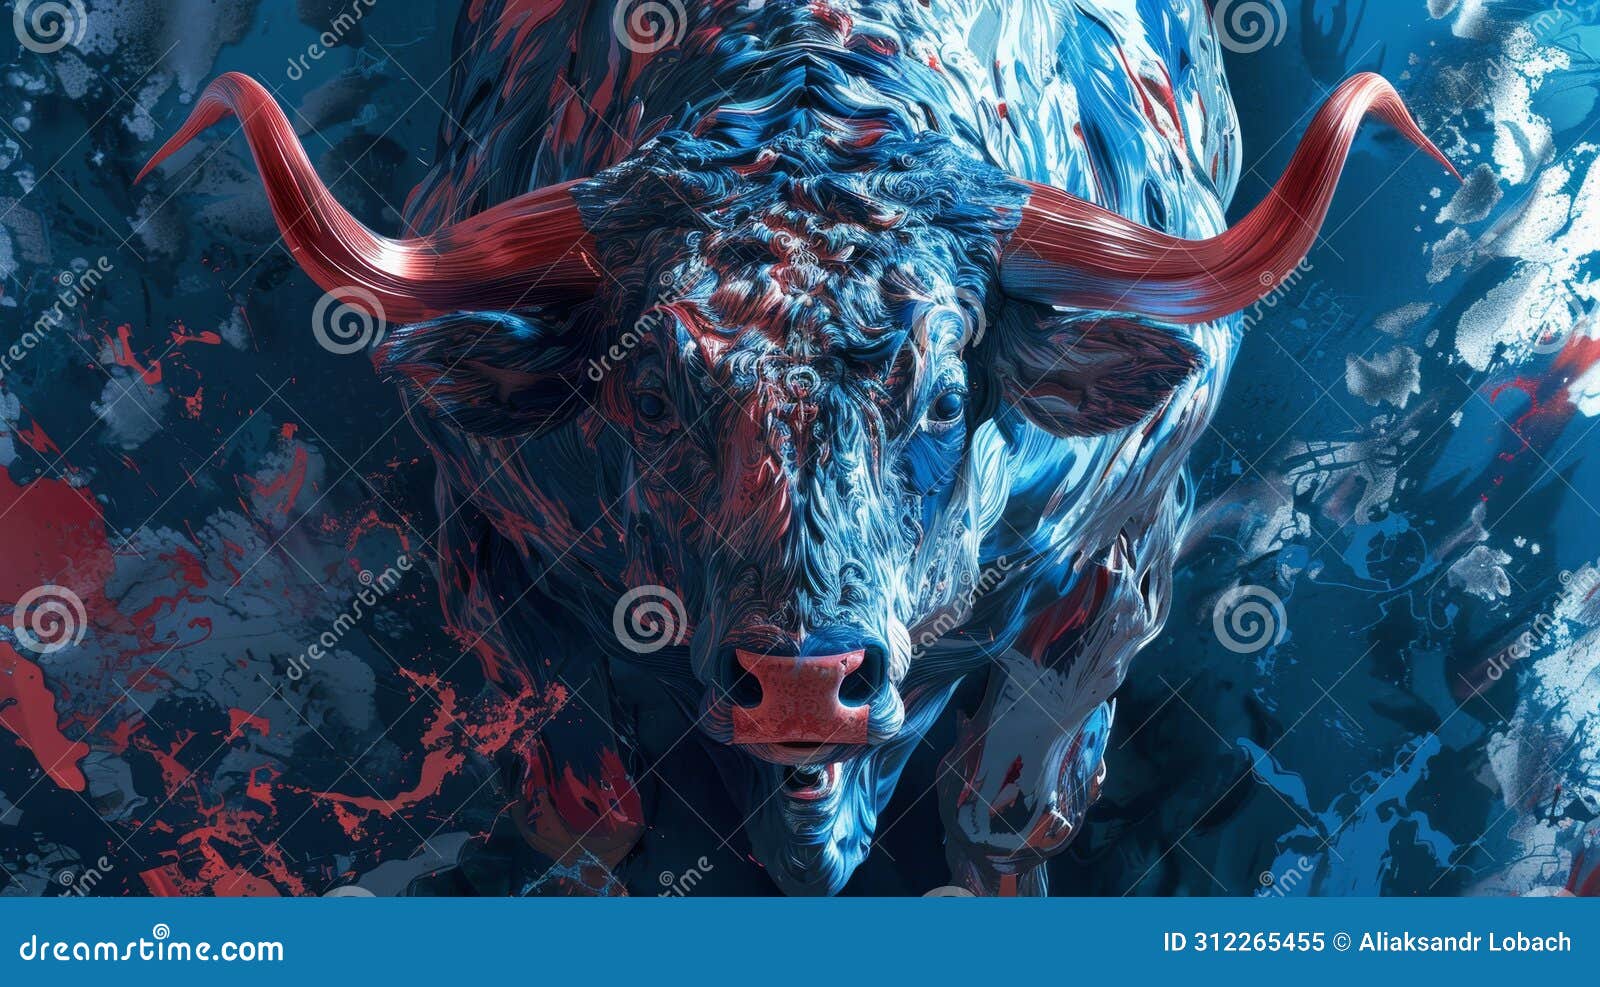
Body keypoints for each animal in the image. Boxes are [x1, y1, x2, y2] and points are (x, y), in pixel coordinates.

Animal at [140, 0, 1454, 895]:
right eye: (649, 397)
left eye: (943, 400)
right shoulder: (483, 541)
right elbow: (584, 808)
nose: (803, 683)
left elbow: (1007, 813)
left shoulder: (1121, 559)